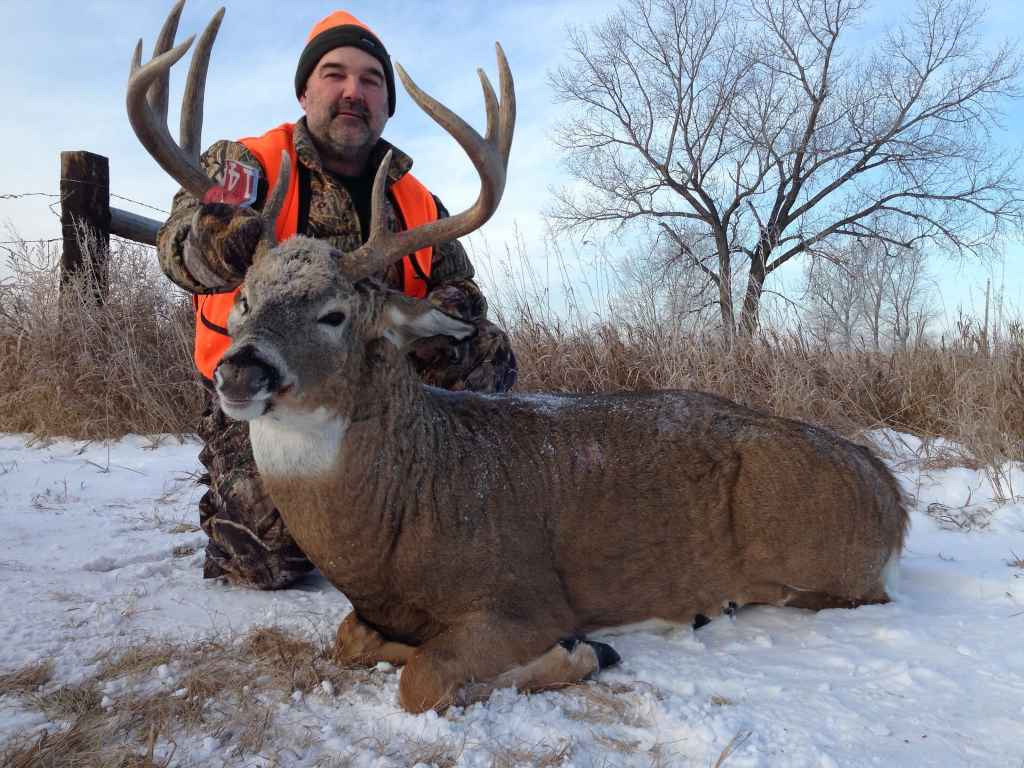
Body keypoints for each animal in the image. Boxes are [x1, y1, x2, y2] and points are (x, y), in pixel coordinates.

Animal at [129, 3, 910, 714]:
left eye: (335, 313)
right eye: (241, 300)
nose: (241, 371)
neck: (397, 518)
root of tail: (890, 493)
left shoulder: (523, 595)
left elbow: (425, 680)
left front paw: (584, 652)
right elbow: (353, 637)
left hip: (821, 568)